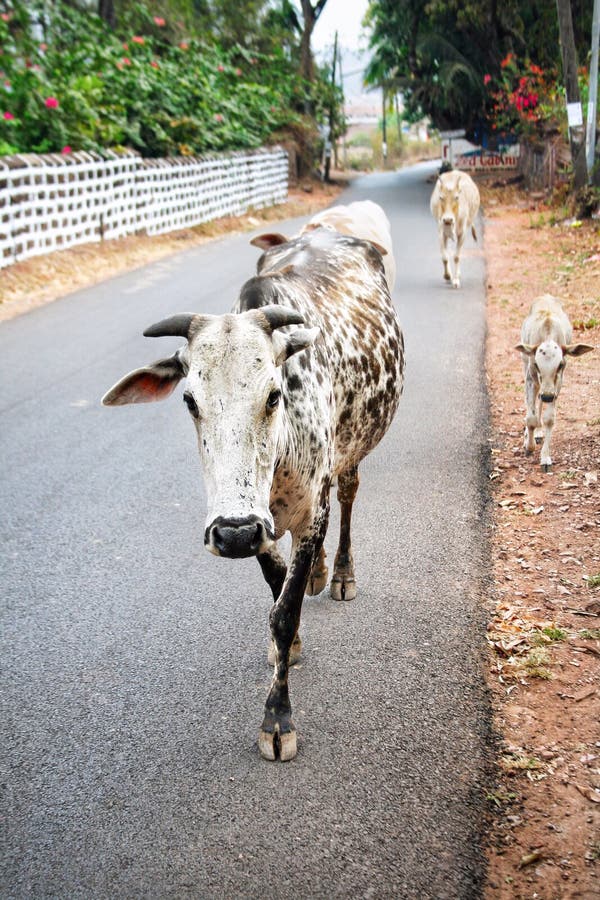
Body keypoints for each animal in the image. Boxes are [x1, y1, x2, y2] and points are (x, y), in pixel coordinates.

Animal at [102, 226, 405, 761]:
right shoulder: (254, 525)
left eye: (273, 393)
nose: (234, 534)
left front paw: (277, 720)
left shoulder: (307, 514)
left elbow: (283, 612)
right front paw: (293, 636)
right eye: (188, 399)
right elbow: (277, 587)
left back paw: (340, 573)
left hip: (353, 450)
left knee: (347, 495)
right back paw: (319, 572)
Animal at [515, 295, 594, 471]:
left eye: (560, 365)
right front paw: (529, 446)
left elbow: (549, 419)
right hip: (525, 364)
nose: (547, 397)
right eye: (537, 364)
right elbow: (530, 418)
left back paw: (538, 432)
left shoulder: (557, 383)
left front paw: (545, 458)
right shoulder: (531, 376)